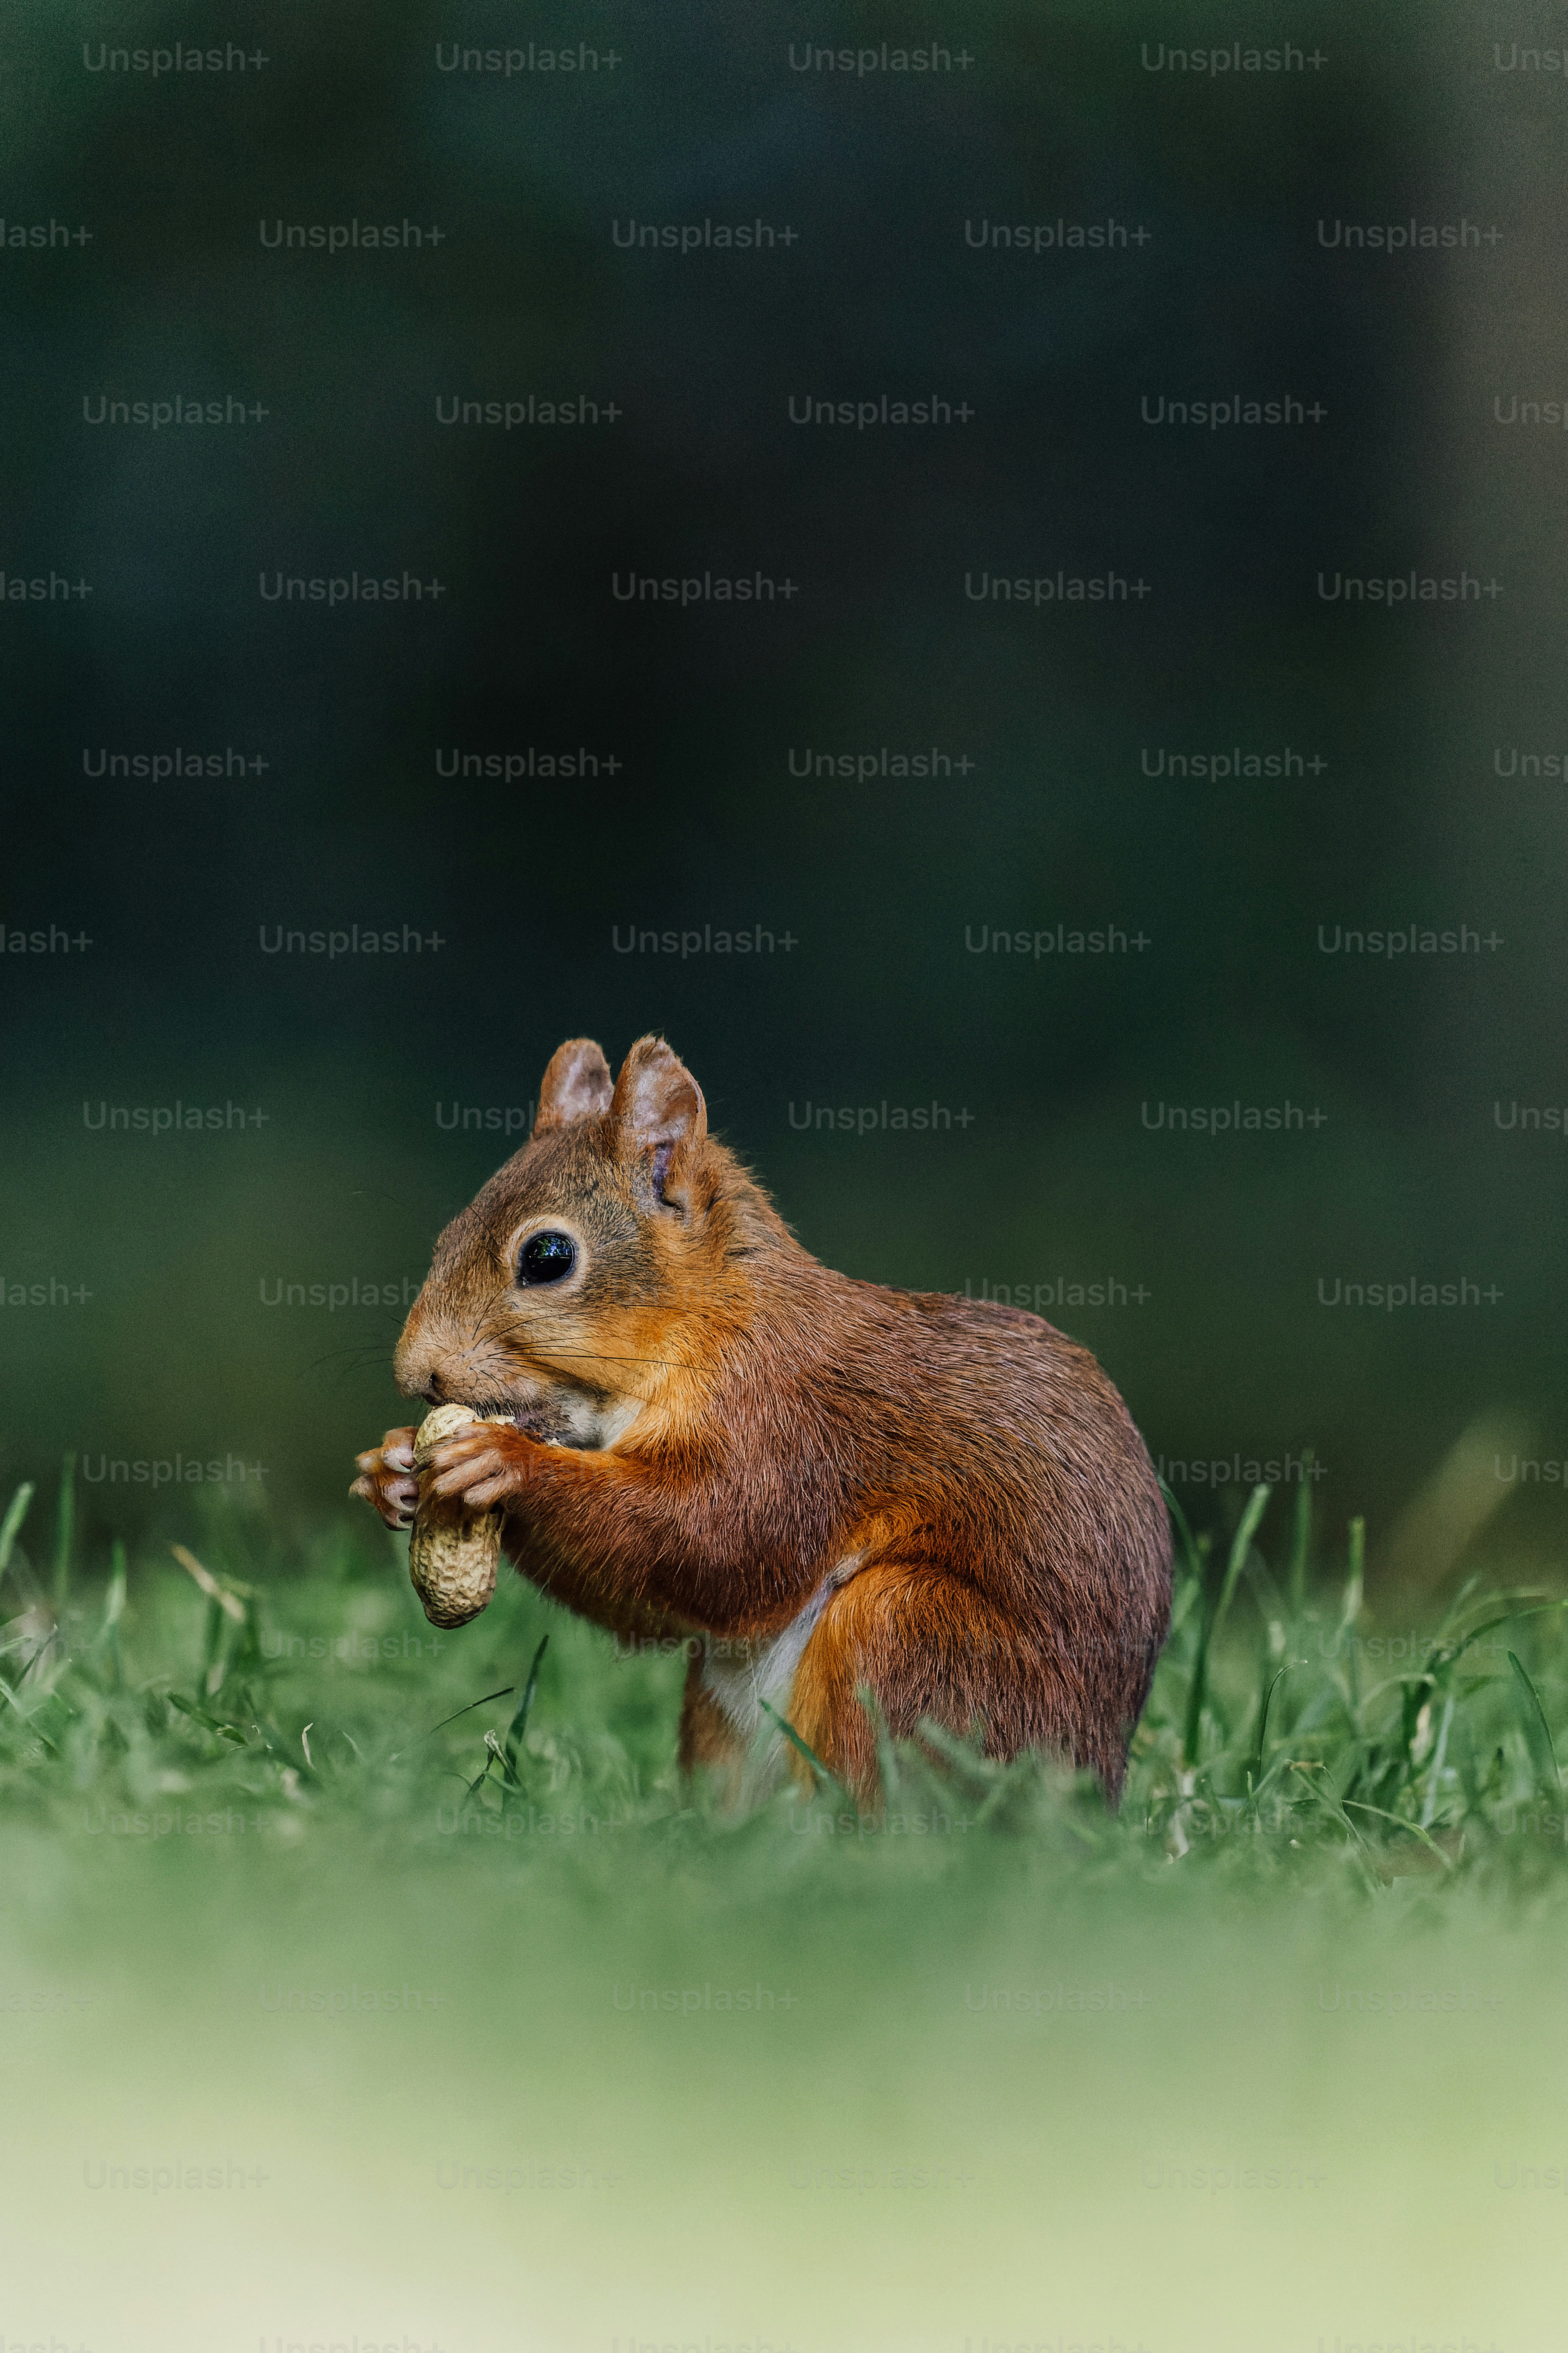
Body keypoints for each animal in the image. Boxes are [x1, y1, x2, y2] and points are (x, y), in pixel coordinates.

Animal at [352, 1034, 1171, 1804]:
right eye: (446, 1238)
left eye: (547, 1256)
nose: (415, 1373)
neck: (707, 1324)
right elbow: (658, 1610)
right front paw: (390, 1468)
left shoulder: (788, 1422)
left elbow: (722, 1541)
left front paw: (504, 1462)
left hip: (912, 1635)